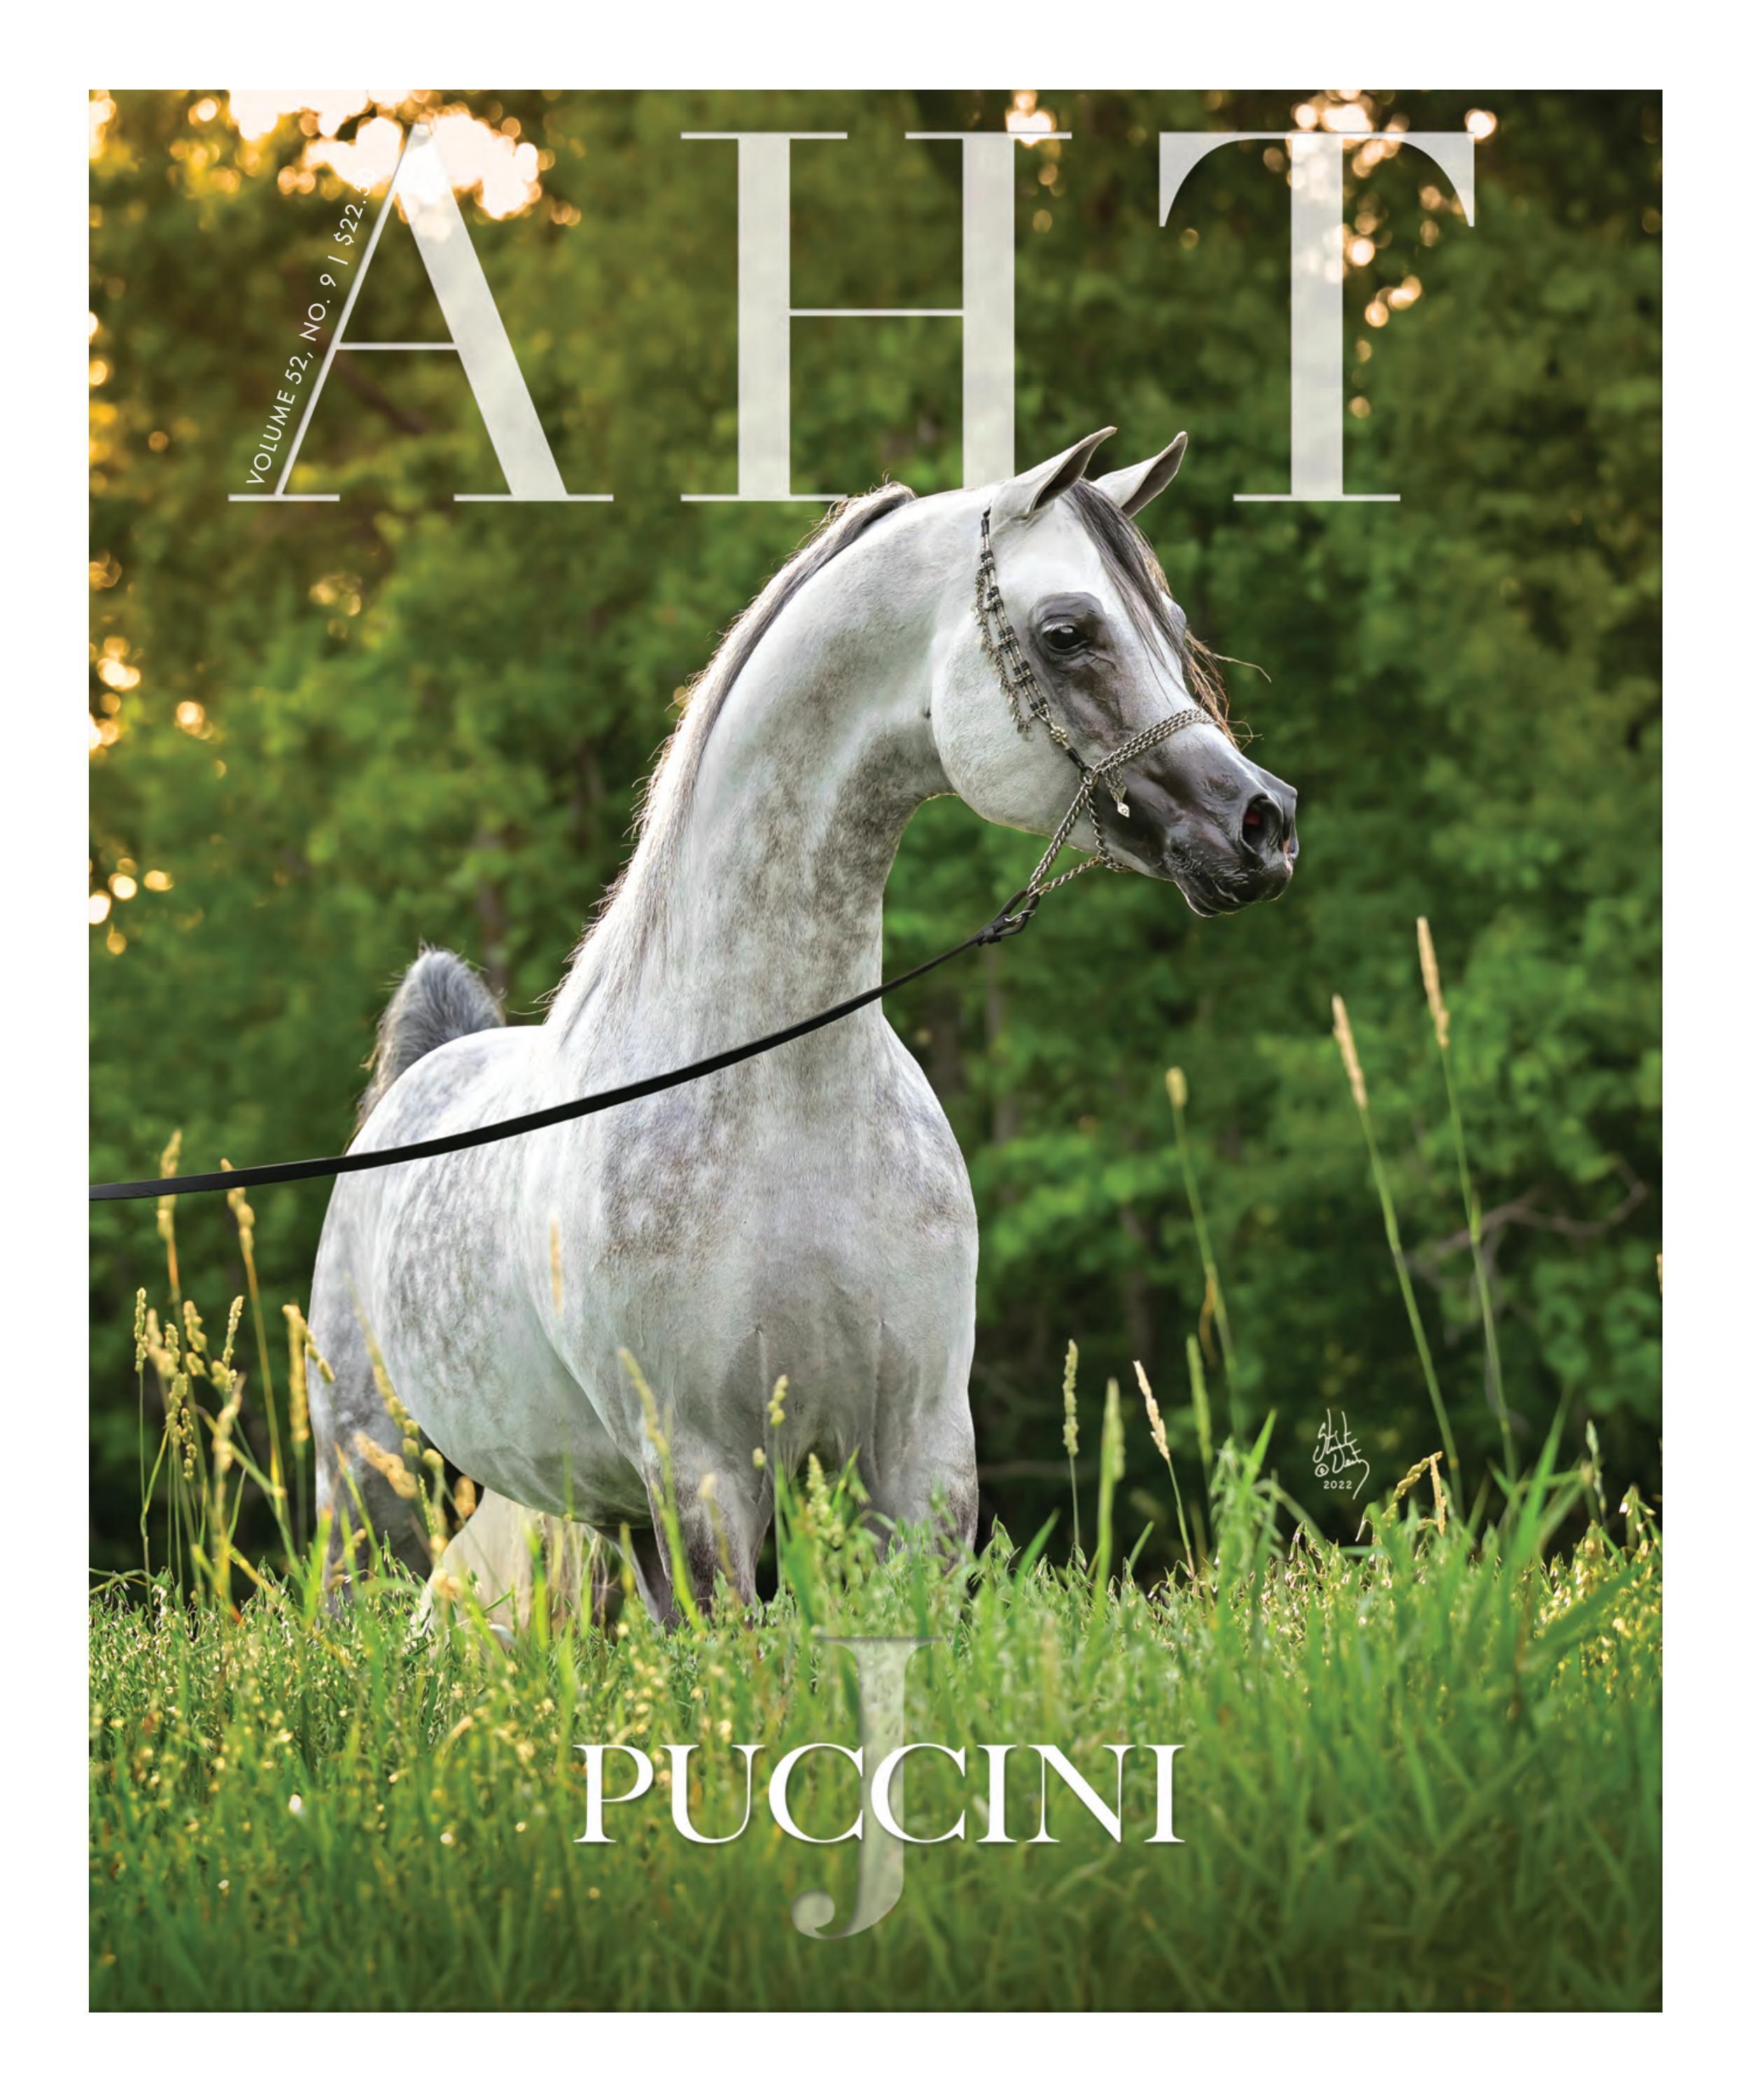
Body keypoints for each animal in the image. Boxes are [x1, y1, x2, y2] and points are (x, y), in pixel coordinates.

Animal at [304, 426, 1299, 1625]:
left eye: (1173, 624)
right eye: (1070, 631)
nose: (1264, 823)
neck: (788, 1101)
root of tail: (428, 1068)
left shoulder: (916, 1460)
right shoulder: (704, 1476)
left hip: (605, 1515)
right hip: (371, 1489)